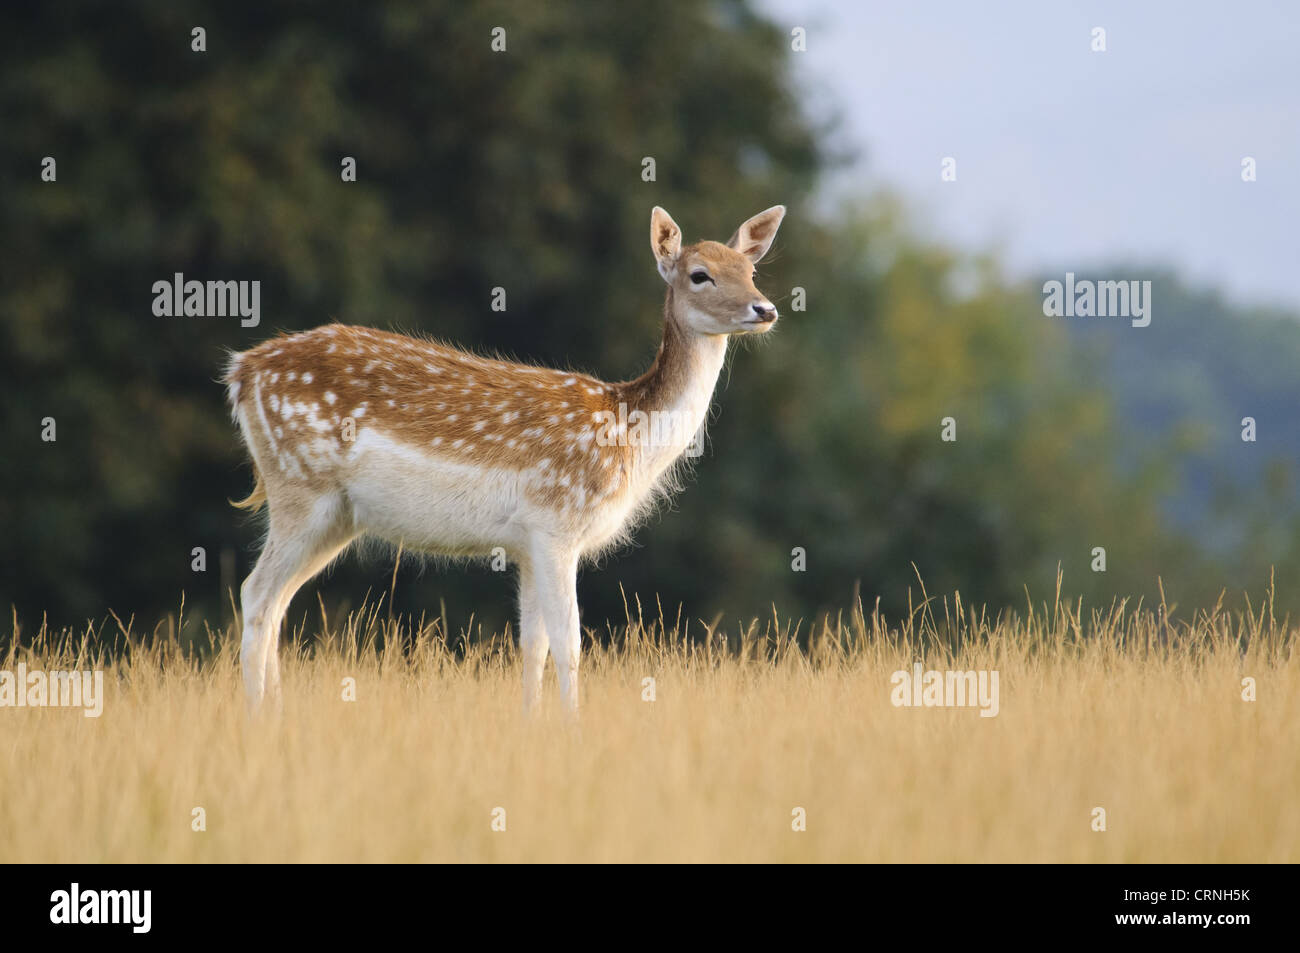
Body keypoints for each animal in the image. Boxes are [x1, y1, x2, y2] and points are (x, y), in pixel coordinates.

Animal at [225, 204, 786, 715]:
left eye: (751, 271)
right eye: (700, 274)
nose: (765, 309)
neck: (628, 434)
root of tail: (241, 373)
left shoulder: (526, 543)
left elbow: (532, 646)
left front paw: (532, 727)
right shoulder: (556, 524)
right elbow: (569, 644)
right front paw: (572, 730)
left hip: (338, 516)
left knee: (278, 601)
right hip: (299, 486)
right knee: (256, 593)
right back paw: (258, 720)